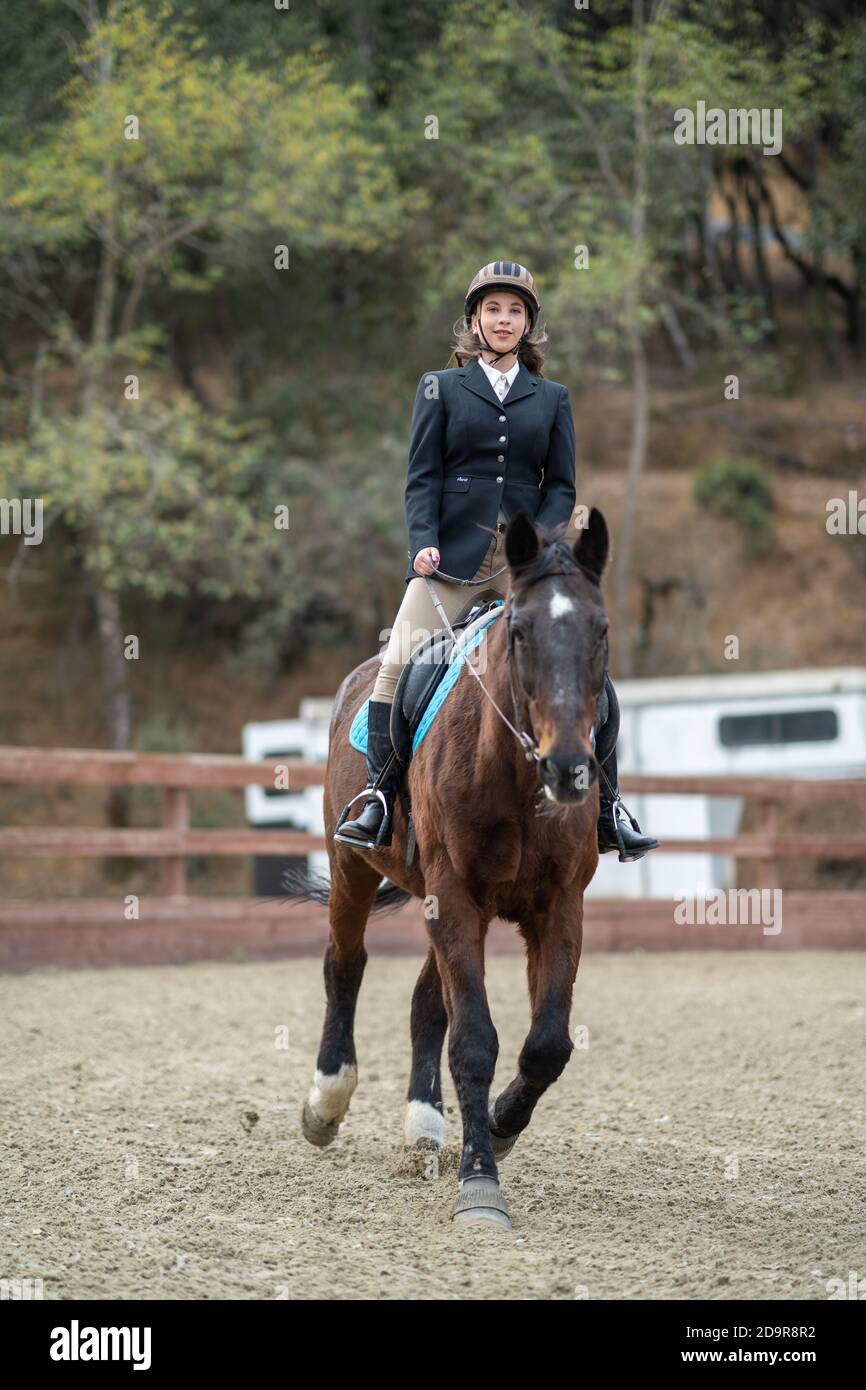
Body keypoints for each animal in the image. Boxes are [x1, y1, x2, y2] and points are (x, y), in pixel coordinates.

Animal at [282, 507, 611, 1228]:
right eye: (520, 633)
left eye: (600, 631)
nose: (569, 768)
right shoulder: (454, 896)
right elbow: (475, 1041)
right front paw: (480, 1182)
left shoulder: (557, 905)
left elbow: (546, 1044)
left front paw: (500, 1127)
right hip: (355, 869)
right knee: (345, 966)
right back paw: (326, 1101)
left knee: (426, 1004)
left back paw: (425, 1128)